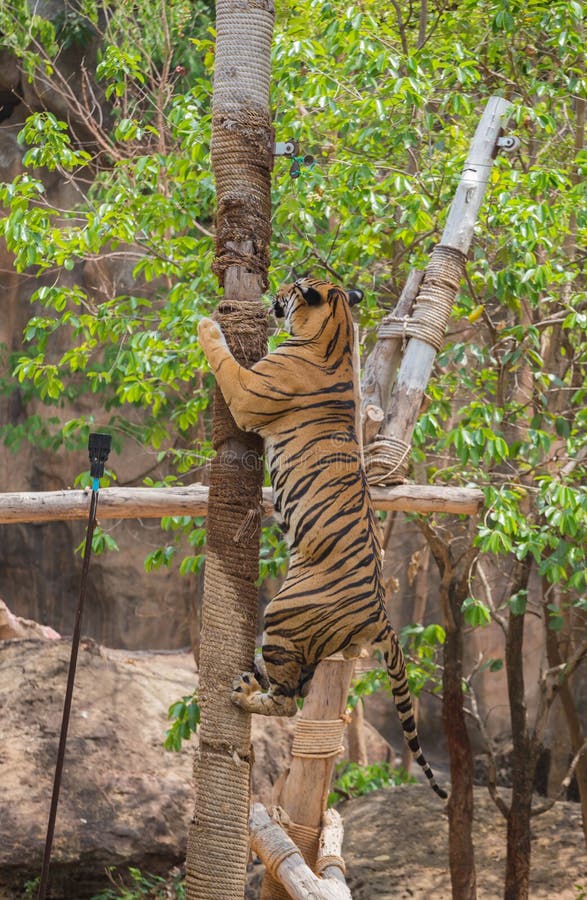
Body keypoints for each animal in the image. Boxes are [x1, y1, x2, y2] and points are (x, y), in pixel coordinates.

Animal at [197, 277, 447, 799]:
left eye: (292, 287)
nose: (273, 292)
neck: (337, 331)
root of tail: (381, 613)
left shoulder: (248, 392)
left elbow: (225, 360)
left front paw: (209, 325)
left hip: (285, 613)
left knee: (288, 702)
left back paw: (244, 694)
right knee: (295, 687)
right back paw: (252, 682)